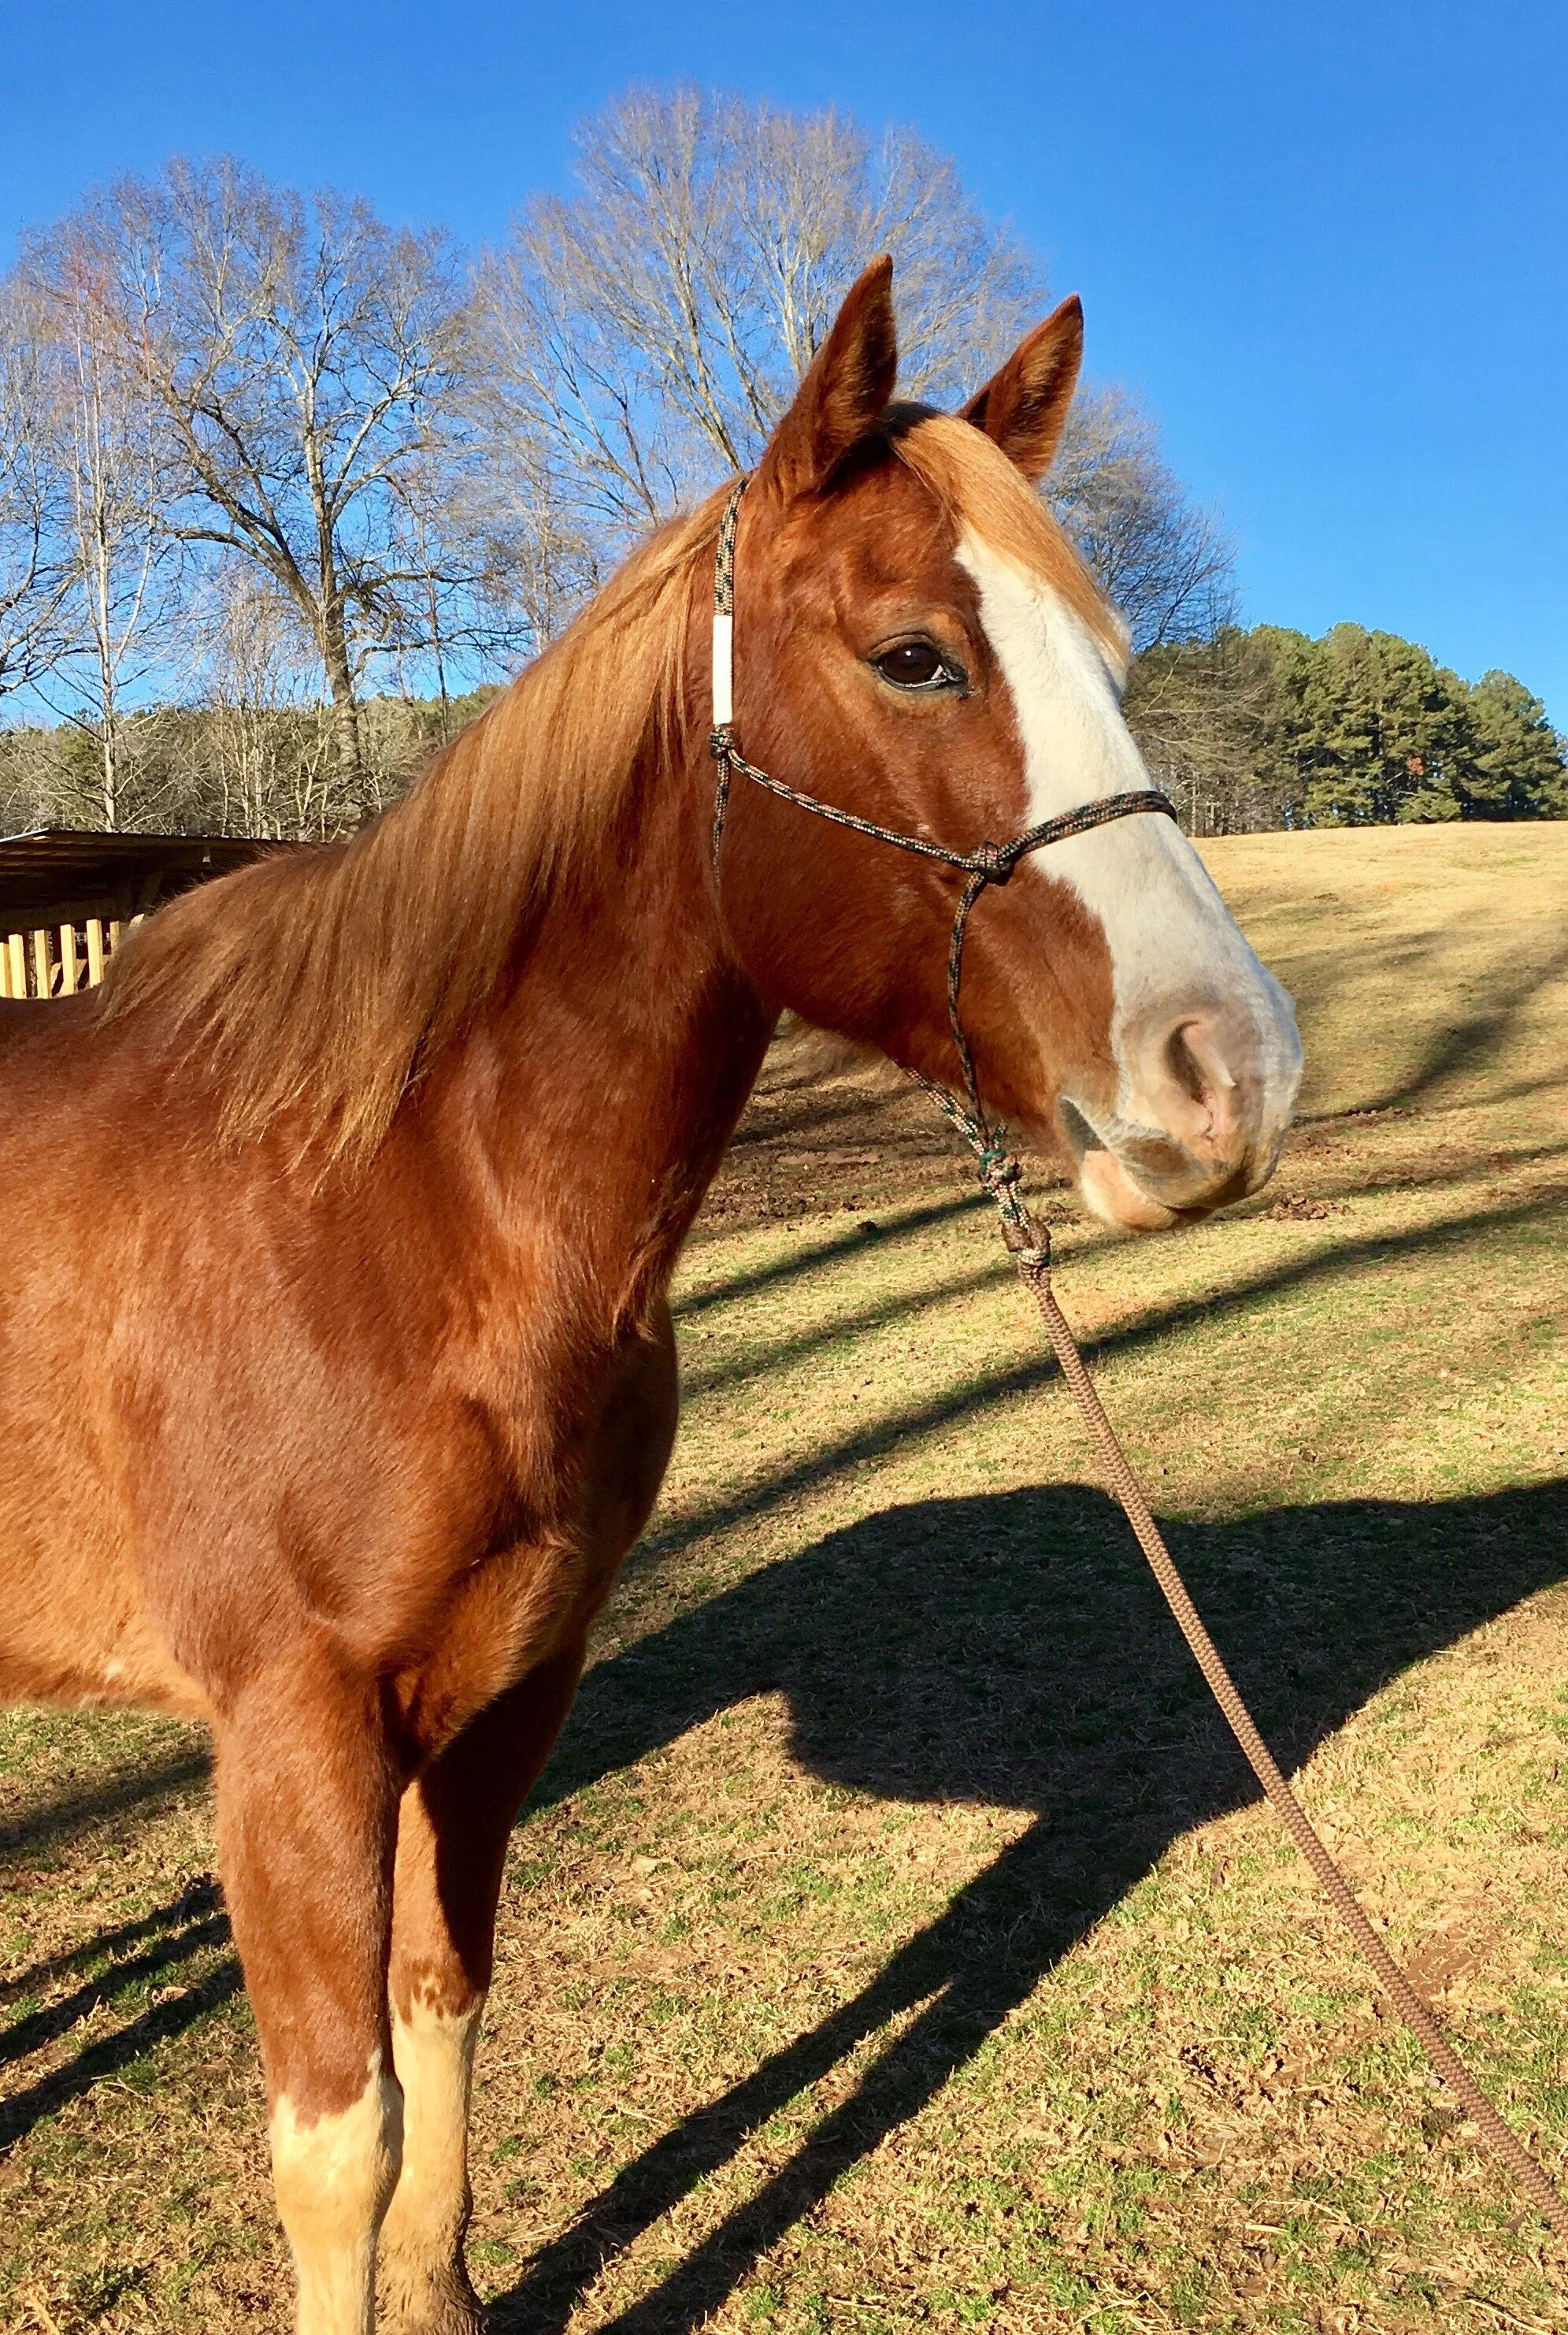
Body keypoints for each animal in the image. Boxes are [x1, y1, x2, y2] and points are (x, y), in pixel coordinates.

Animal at [0, 258, 1301, 2333]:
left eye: (1106, 665)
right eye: (915, 657)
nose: (1230, 1074)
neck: (409, 1215)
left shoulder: (501, 1703)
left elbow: (442, 2013)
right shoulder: (293, 1737)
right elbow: (332, 2143)